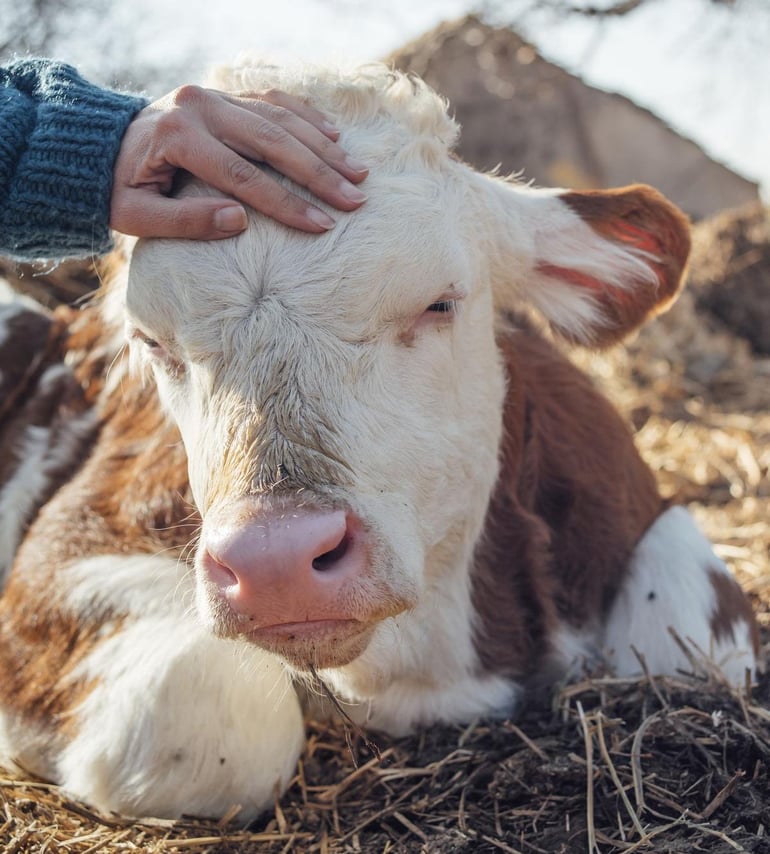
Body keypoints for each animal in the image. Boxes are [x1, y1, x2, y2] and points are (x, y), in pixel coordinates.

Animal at [0, 61, 758, 820]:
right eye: (153, 344)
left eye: (440, 303)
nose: (275, 563)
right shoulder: (66, 558)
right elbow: (213, 713)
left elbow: (694, 644)